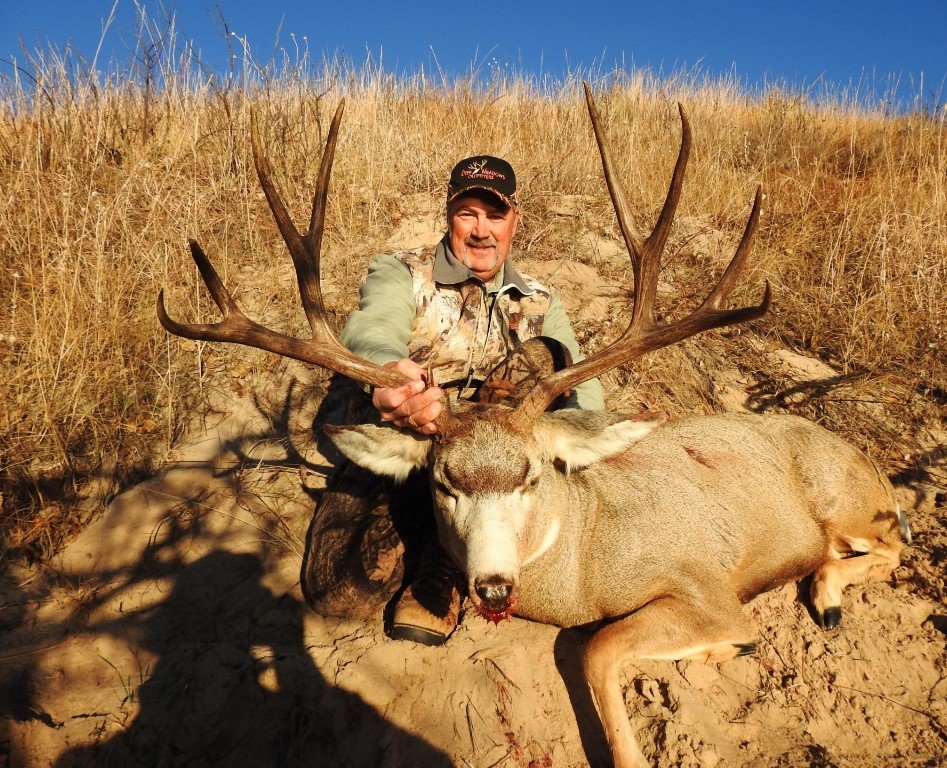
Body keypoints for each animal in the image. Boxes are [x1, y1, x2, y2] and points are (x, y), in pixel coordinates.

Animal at [158, 84, 911, 768]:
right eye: (441, 484)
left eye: (529, 475)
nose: (492, 588)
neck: (582, 564)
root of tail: (860, 457)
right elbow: (600, 647)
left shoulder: (706, 587)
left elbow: (600, 647)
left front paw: (733, 644)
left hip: (843, 499)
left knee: (890, 543)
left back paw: (827, 595)